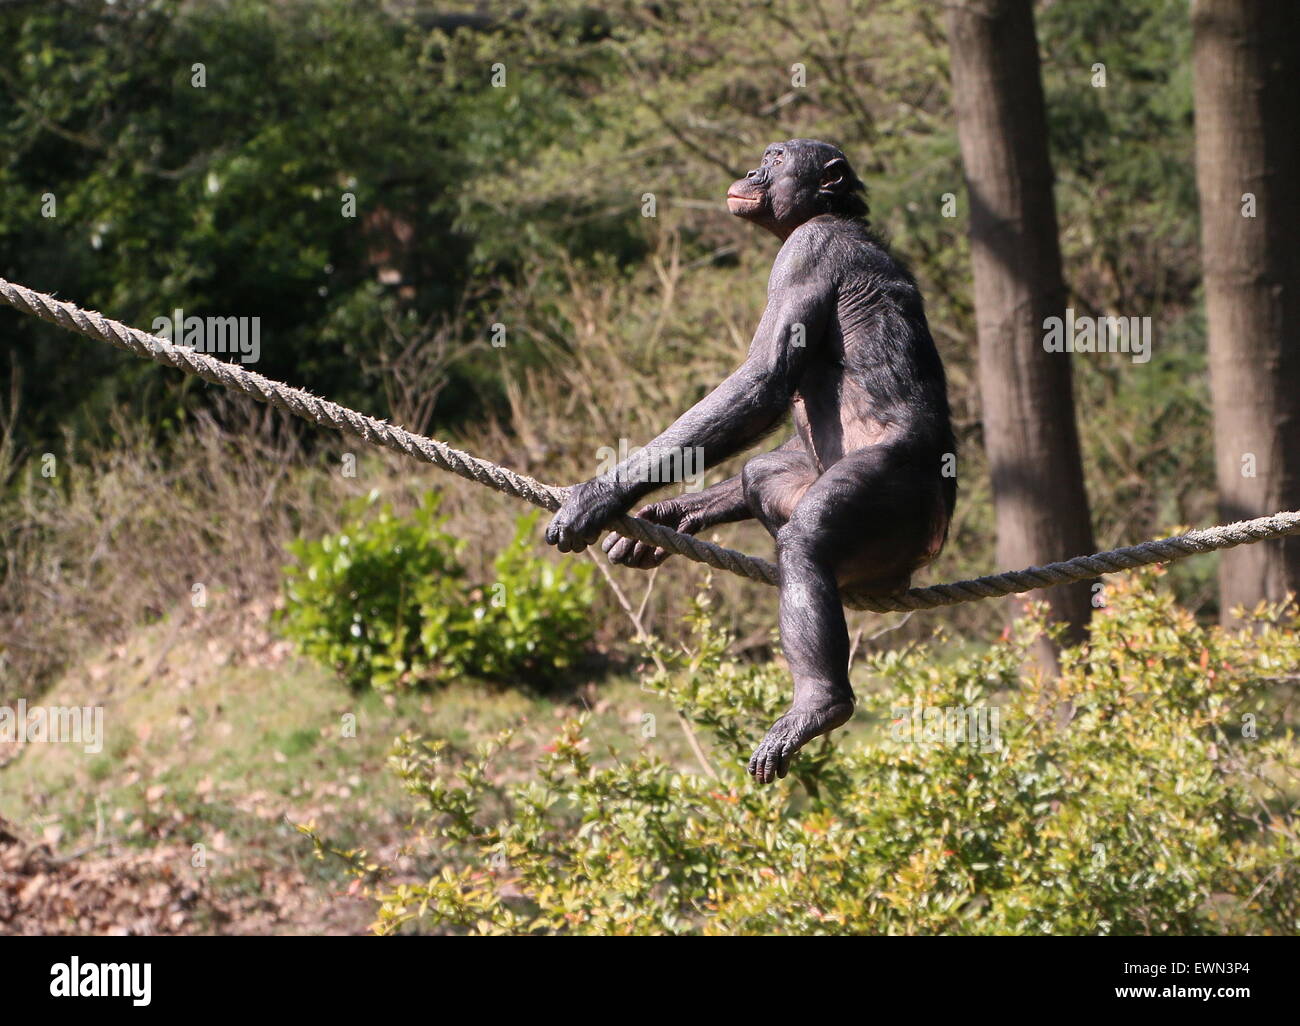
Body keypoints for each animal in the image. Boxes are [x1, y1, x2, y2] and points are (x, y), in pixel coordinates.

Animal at [546, 139, 956, 784]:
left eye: (778, 158)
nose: (750, 172)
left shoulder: (806, 254)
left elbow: (761, 378)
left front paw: (600, 495)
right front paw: (665, 516)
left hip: (902, 502)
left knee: (808, 538)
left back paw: (818, 705)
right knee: (761, 475)